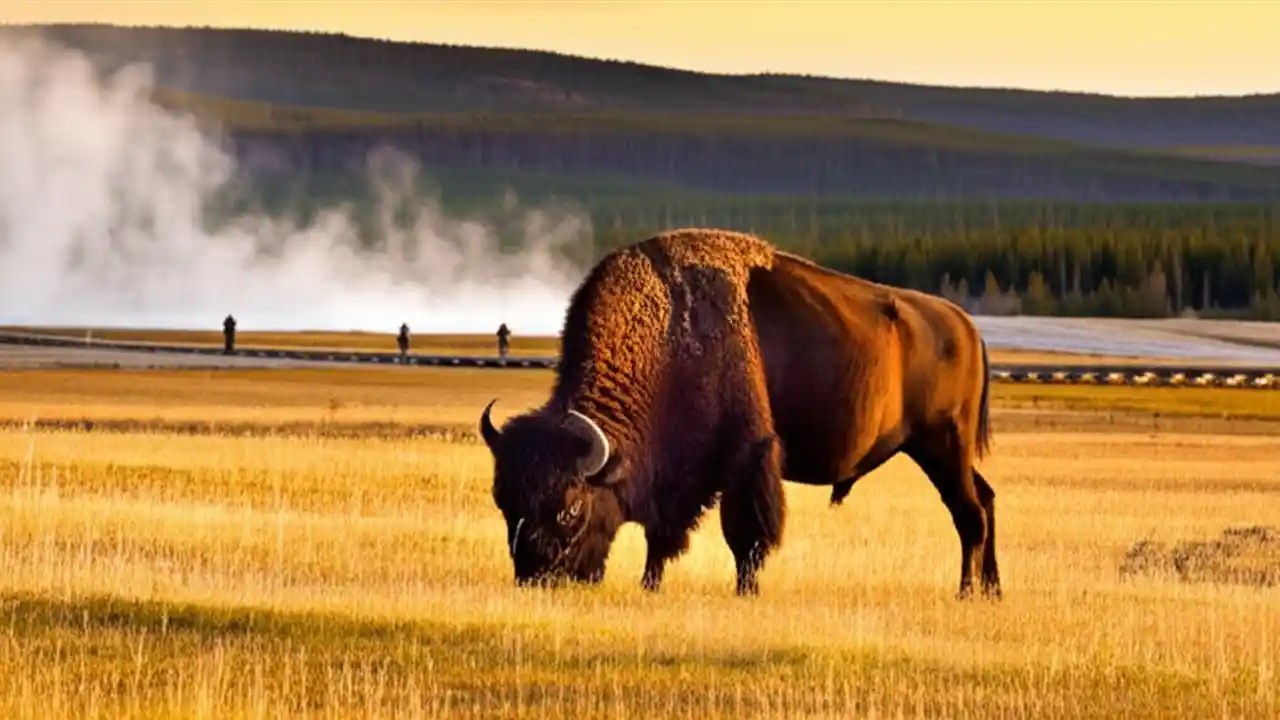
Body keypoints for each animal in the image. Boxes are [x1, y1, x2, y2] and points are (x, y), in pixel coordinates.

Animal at [480, 228, 999, 599]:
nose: (538, 577)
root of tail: (967, 327)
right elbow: (660, 536)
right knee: (987, 499)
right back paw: (991, 589)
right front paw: (650, 585)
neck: (668, 335)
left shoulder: (746, 458)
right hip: (941, 451)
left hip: (942, 445)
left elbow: (744, 534)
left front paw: (745, 591)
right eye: (504, 501)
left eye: (571, 506)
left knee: (968, 512)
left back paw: (965, 591)